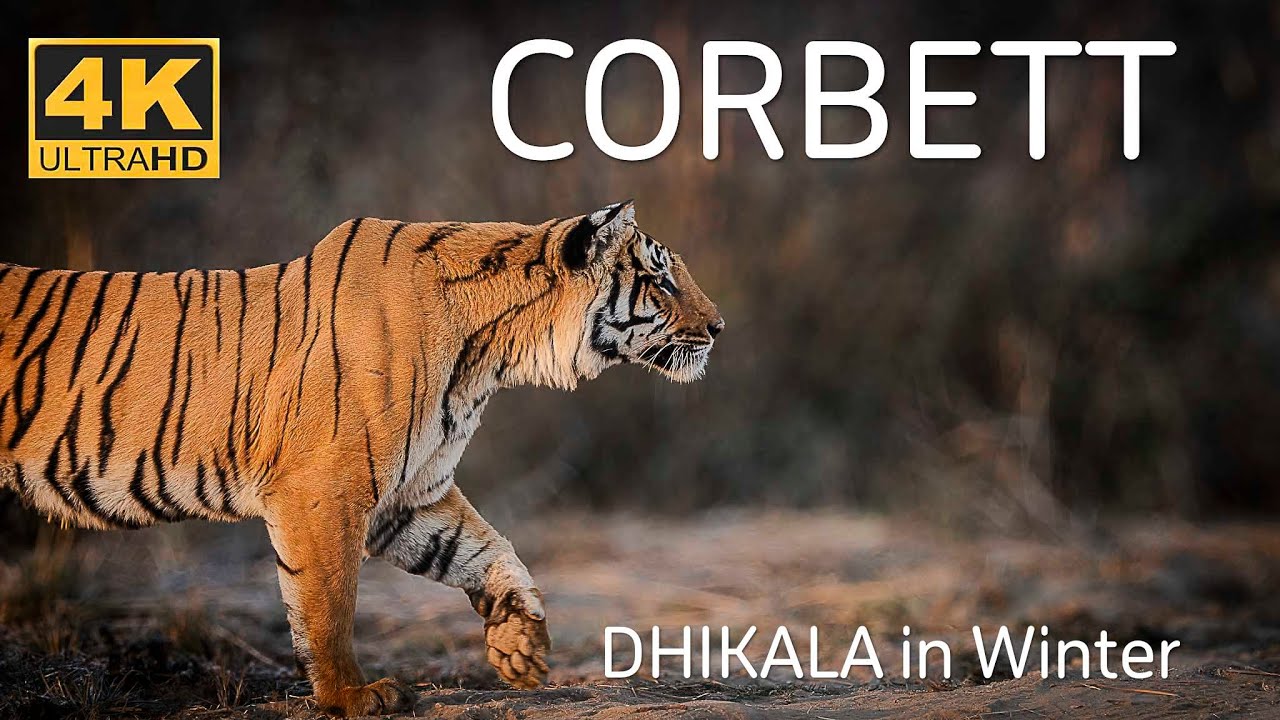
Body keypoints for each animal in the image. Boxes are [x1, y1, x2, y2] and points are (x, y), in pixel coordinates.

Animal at [0, 200, 723, 716]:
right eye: (660, 281)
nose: (719, 327)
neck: (493, 355)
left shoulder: (413, 493)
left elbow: (487, 549)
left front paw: (521, 646)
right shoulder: (325, 486)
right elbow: (328, 599)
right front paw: (351, 696)